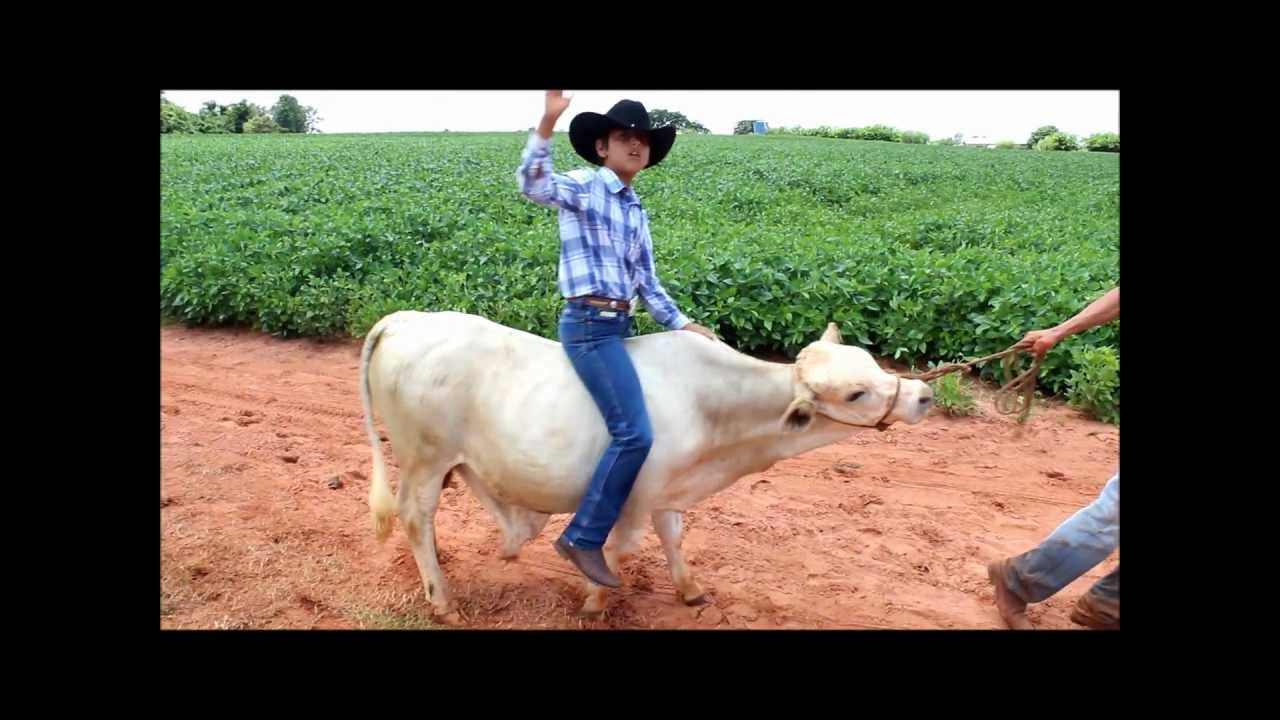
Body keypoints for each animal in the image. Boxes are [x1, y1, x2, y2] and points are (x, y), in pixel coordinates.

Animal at [359, 310, 934, 621]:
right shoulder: (634, 491)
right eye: (856, 392)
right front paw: (595, 601)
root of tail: (406, 319)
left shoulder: (668, 490)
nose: (924, 394)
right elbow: (615, 548)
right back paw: (441, 598)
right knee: (415, 517)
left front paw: (690, 590)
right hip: (425, 459)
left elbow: (674, 537)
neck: (712, 405)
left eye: (871, 362)